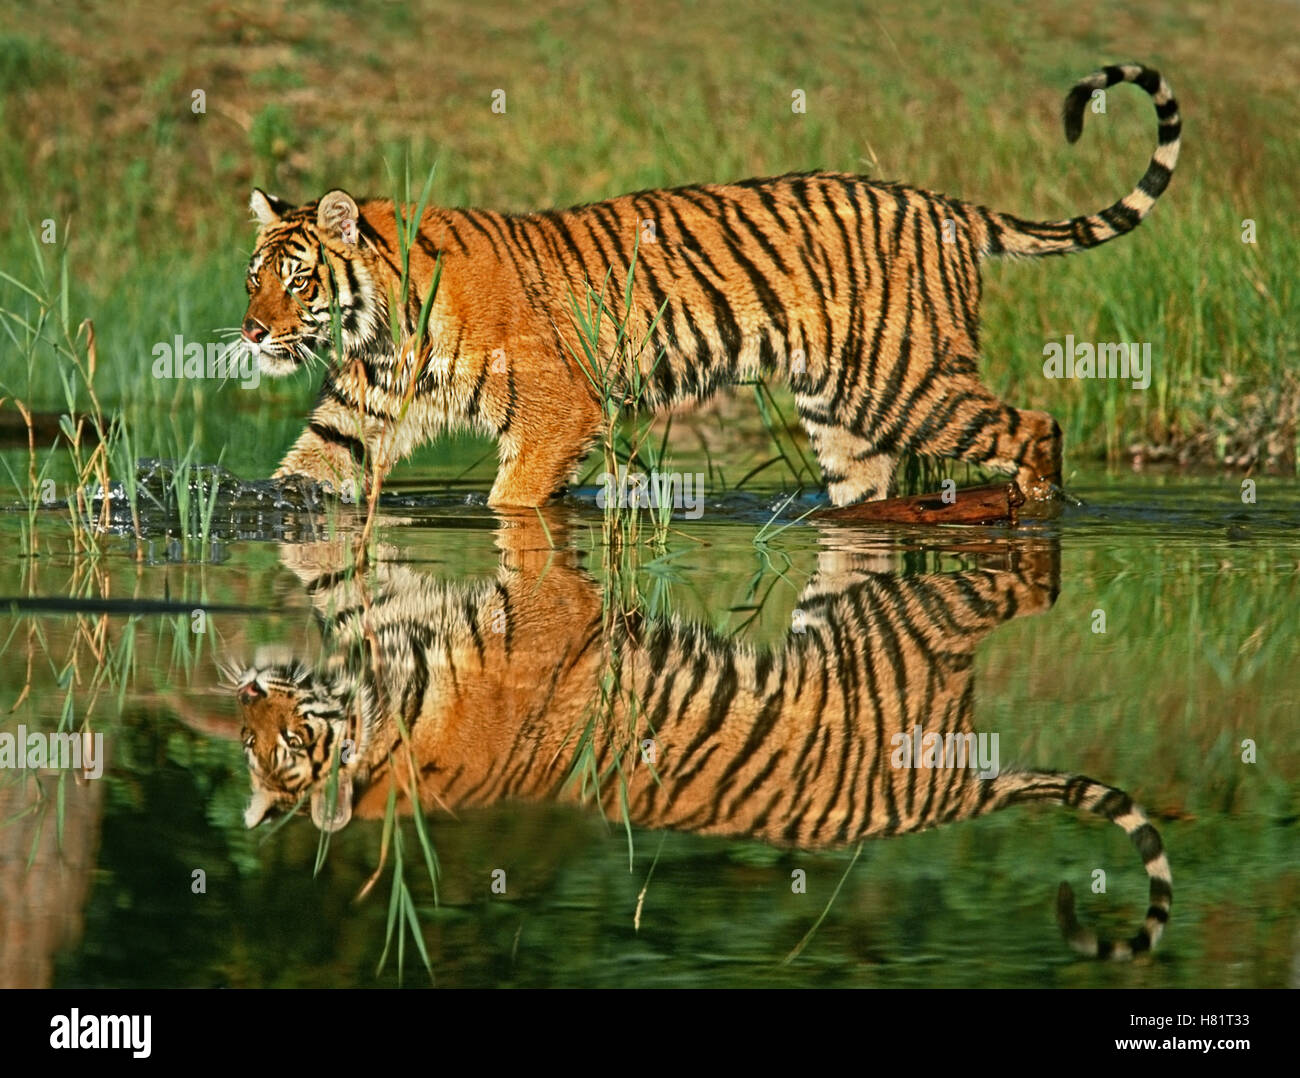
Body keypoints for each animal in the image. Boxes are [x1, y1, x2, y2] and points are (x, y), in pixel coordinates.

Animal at [239, 64, 1181, 510]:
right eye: (254, 279)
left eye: (297, 279)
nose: (250, 331)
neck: (380, 328)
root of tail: (942, 202)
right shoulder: (357, 414)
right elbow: (304, 473)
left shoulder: (557, 408)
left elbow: (514, 501)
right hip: (845, 411)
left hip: (909, 384)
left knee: (1035, 426)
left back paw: (1036, 509)